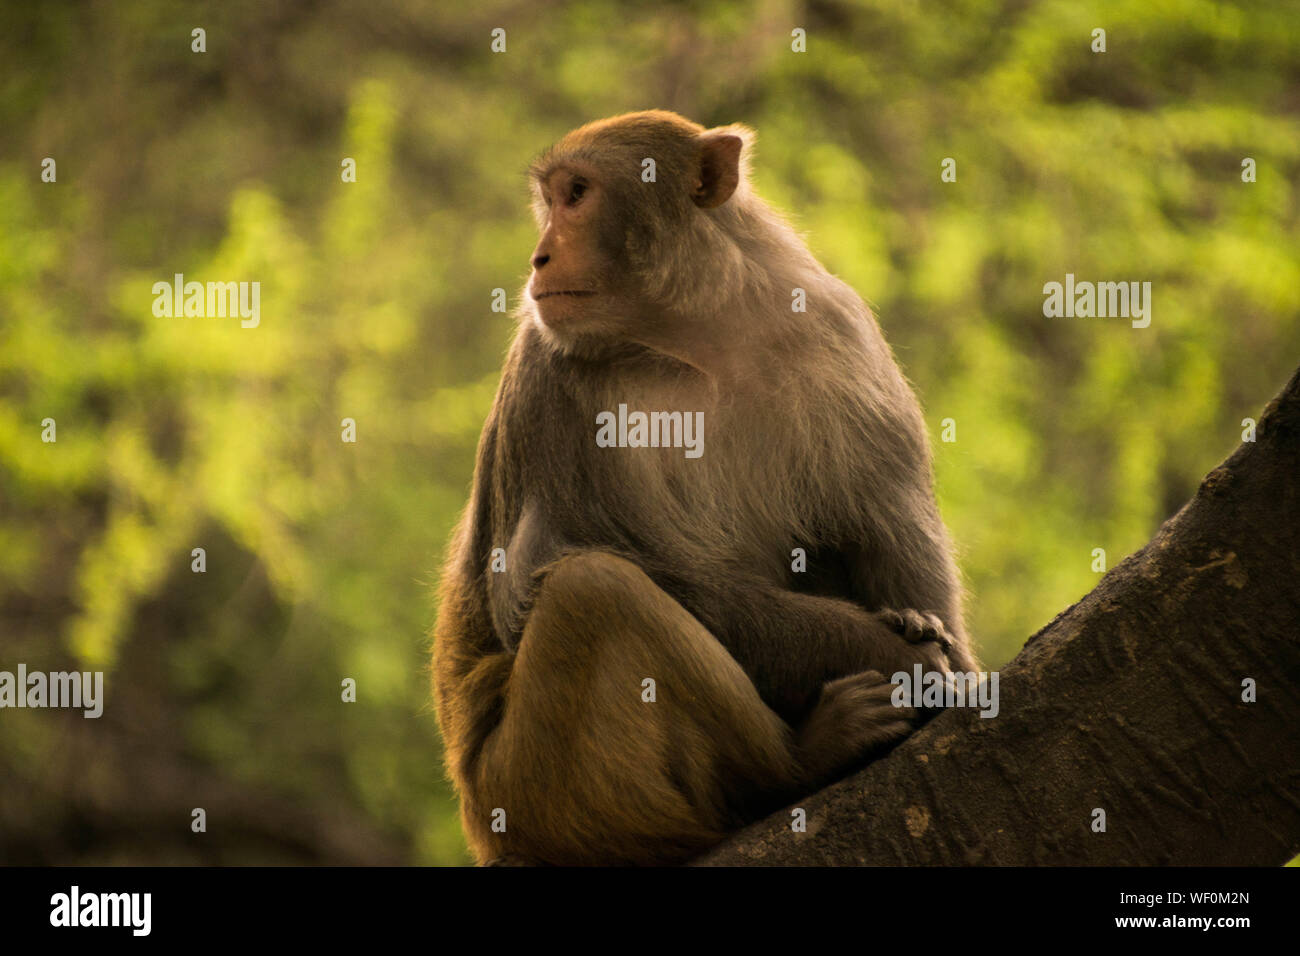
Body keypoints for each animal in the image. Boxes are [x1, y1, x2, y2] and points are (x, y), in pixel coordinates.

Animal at [432, 110, 978, 866]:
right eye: (553, 198)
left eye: (577, 194)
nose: (539, 258)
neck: (697, 338)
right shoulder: (545, 378)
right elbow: (534, 583)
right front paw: (891, 652)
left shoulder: (837, 331)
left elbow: (887, 528)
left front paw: (930, 635)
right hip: (542, 799)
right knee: (592, 593)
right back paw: (797, 762)